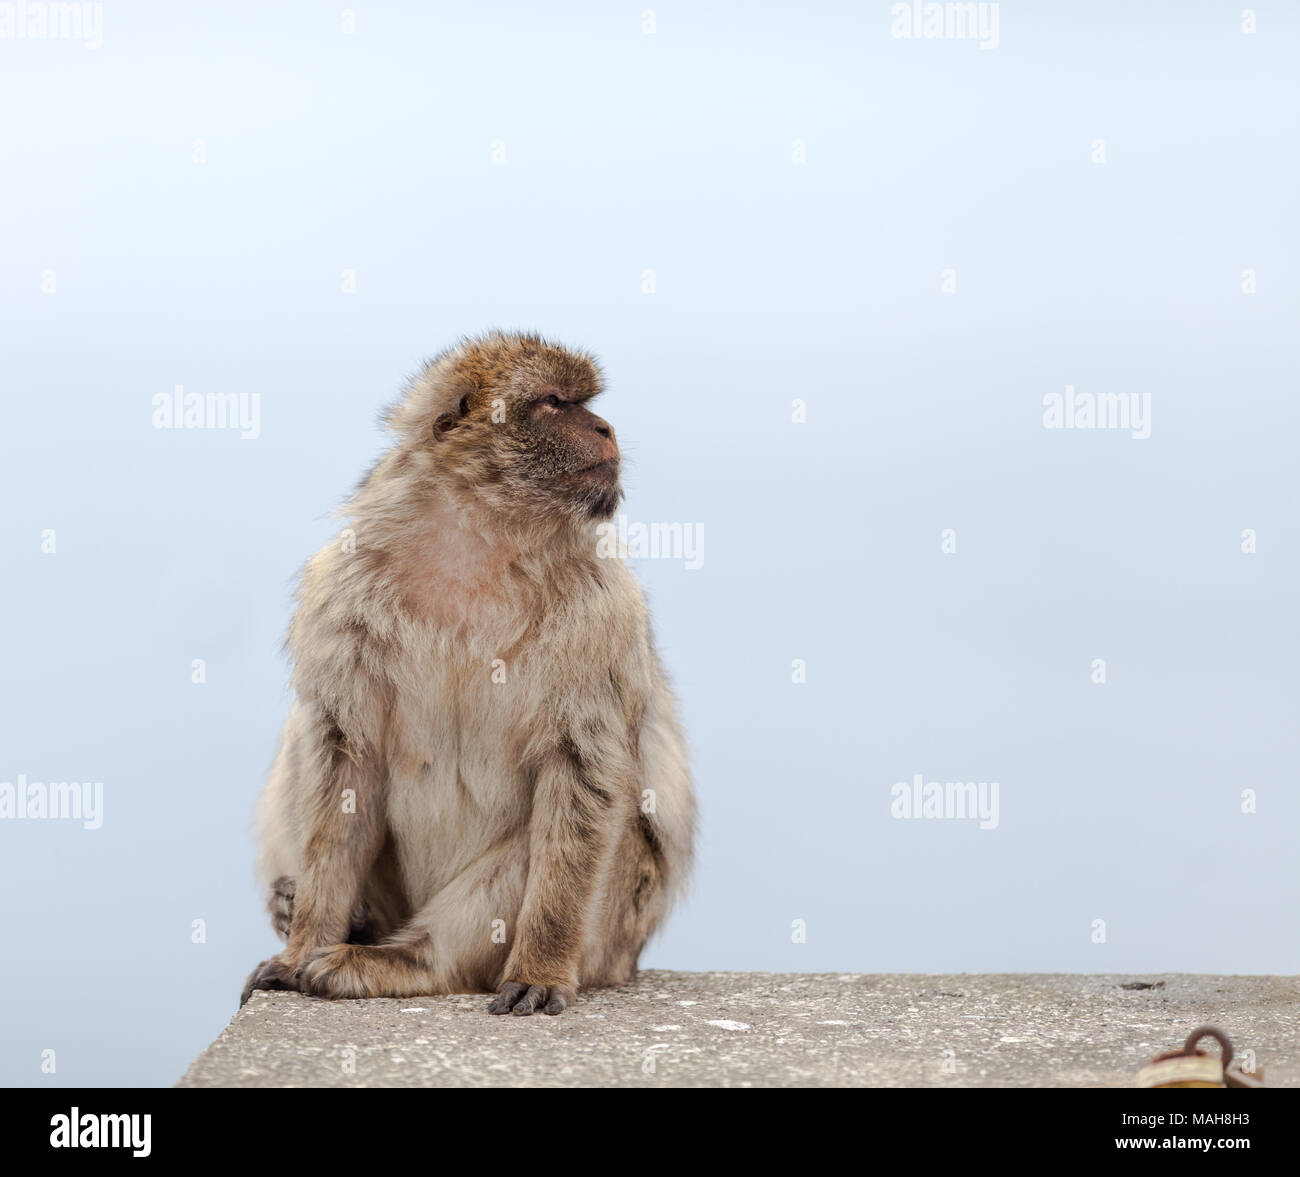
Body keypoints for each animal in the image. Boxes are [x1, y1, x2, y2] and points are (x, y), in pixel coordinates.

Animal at [240, 332, 695, 1017]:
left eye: (583, 403)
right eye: (556, 403)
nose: (606, 428)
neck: (479, 539)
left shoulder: (600, 611)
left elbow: (585, 776)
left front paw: (539, 966)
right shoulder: (342, 589)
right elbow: (345, 762)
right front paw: (302, 945)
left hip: (611, 937)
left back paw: (407, 961)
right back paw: (331, 917)